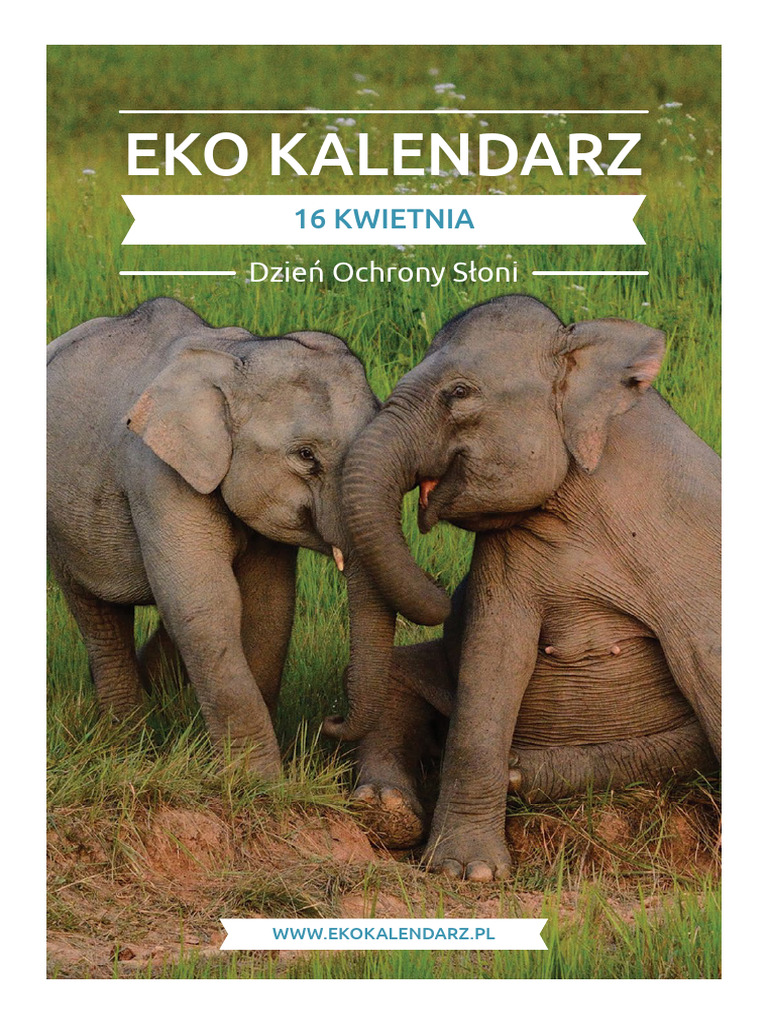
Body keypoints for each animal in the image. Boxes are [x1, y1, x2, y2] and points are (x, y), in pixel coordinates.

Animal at [47, 297, 382, 778]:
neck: (235, 359)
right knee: (98, 614)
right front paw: (258, 783)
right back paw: (126, 744)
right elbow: (205, 605)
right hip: (61, 524)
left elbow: (267, 604)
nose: (330, 719)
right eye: (306, 456)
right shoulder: (155, 473)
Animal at [327, 294, 720, 879]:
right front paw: (466, 872)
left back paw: (522, 774)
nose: (446, 595)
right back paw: (386, 809)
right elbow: (494, 658)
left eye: (459, 393)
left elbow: (710, 666)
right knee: (395, 680)